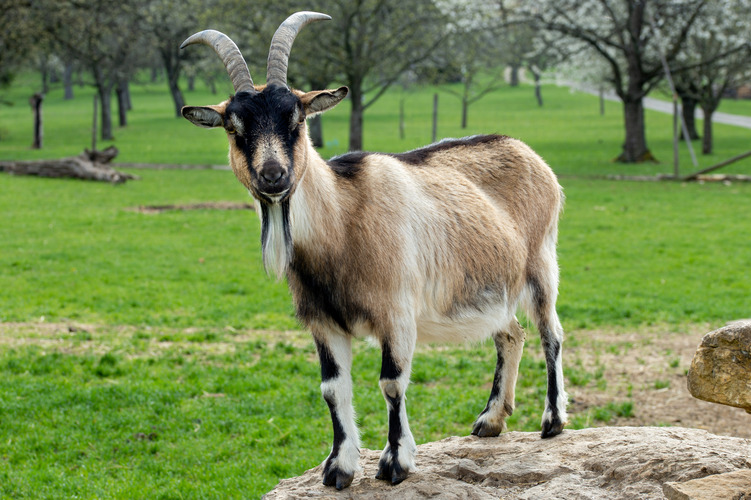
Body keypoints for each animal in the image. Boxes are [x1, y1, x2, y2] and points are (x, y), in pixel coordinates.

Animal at [180, 11, 568, 490]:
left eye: (297, 120)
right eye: (234, 129)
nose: (273, 175)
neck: (342, 224)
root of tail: (529, 153)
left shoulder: (396, 313)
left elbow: (391, 382)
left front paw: (395, 463)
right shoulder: (322, 321)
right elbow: (333, 389)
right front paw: (339, 468)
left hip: (541, 263)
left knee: (551, 333)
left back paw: (552, 421)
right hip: (494, 284)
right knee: (510, 334)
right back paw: (490, 421)